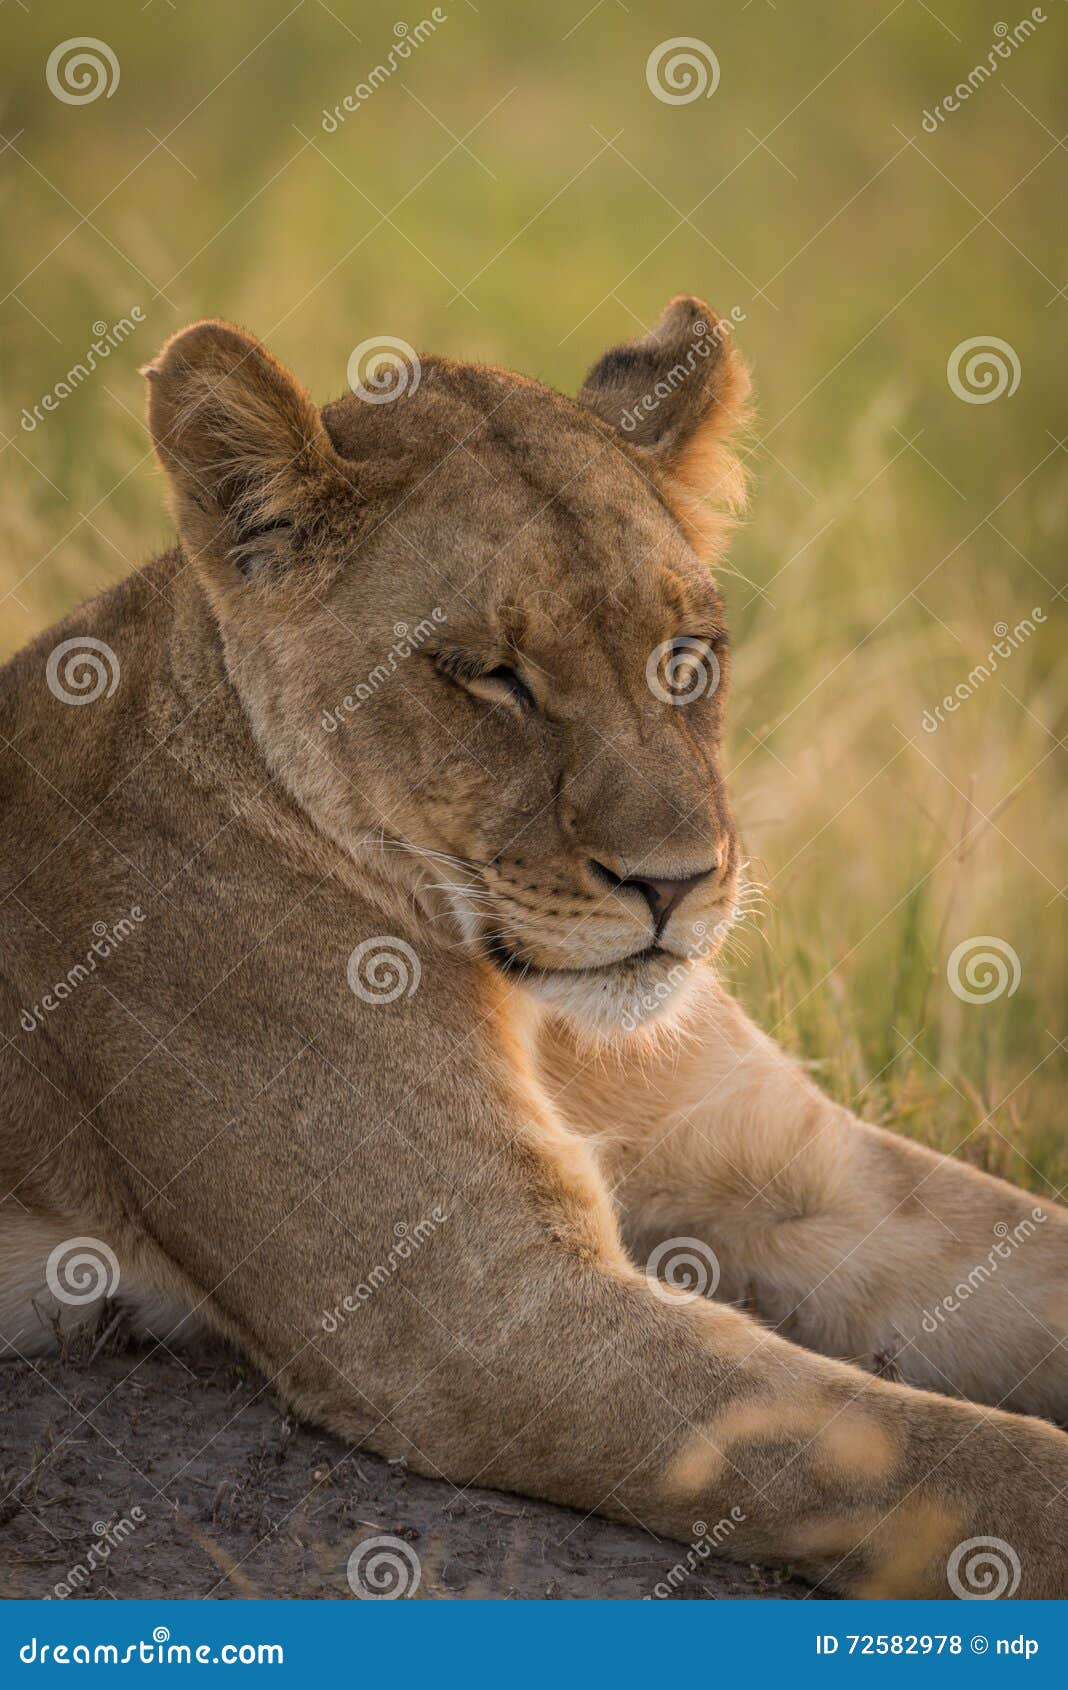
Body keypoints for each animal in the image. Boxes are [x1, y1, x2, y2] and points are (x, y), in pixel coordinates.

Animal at [1, 298, 1066, 1599]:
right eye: (490, 677)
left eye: (686, 655)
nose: (674, 882)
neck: (556, 1027)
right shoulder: (482, 1319)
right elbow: (941, 1450)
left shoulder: (812, 1177)